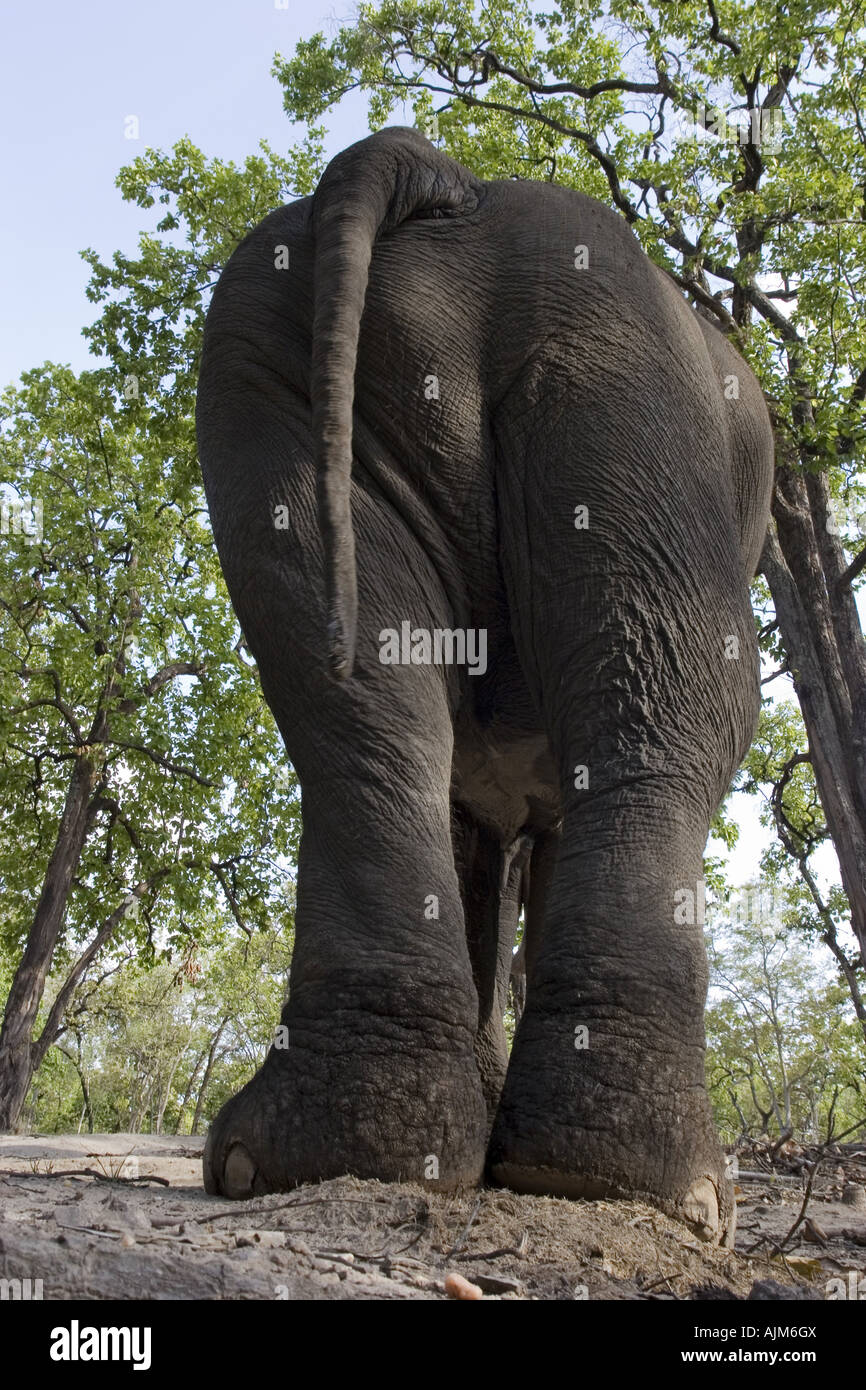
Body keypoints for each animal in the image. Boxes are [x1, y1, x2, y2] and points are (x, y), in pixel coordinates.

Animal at [195, 125, 773, 1244]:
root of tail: (442, 176)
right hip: (625, 377)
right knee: (682, 706)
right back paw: (650, 1192)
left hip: (270, 363)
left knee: (354, 700)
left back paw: (319, 1157)